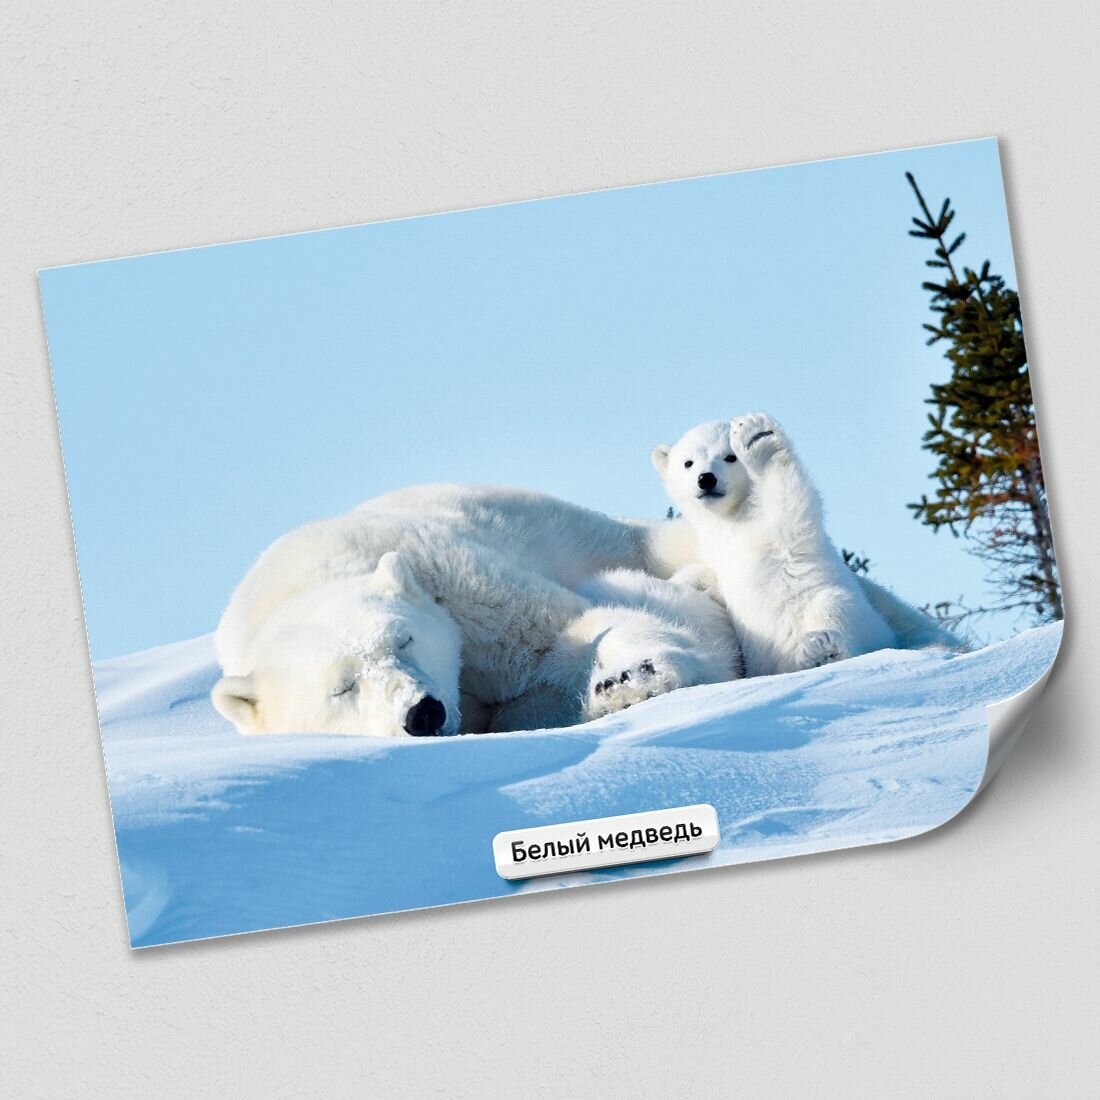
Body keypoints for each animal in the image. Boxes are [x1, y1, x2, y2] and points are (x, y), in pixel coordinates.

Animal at [212, 484, 741, 737]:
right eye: (342, 688)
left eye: (404, 638)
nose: (422, 713)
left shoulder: (452, 579)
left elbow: (562, 632)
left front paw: (634, 678)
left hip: (615, 535)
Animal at [651, 413, 959, 678]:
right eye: (688, 462)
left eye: (730, 457)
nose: (706, 479)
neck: (732, 518)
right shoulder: (714, 550)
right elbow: (705, 576)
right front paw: (676, 585)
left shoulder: (777, 528)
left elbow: (788, 499)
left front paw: (758, 438)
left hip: (842, 609)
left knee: (837, 611)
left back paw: (822, 648)